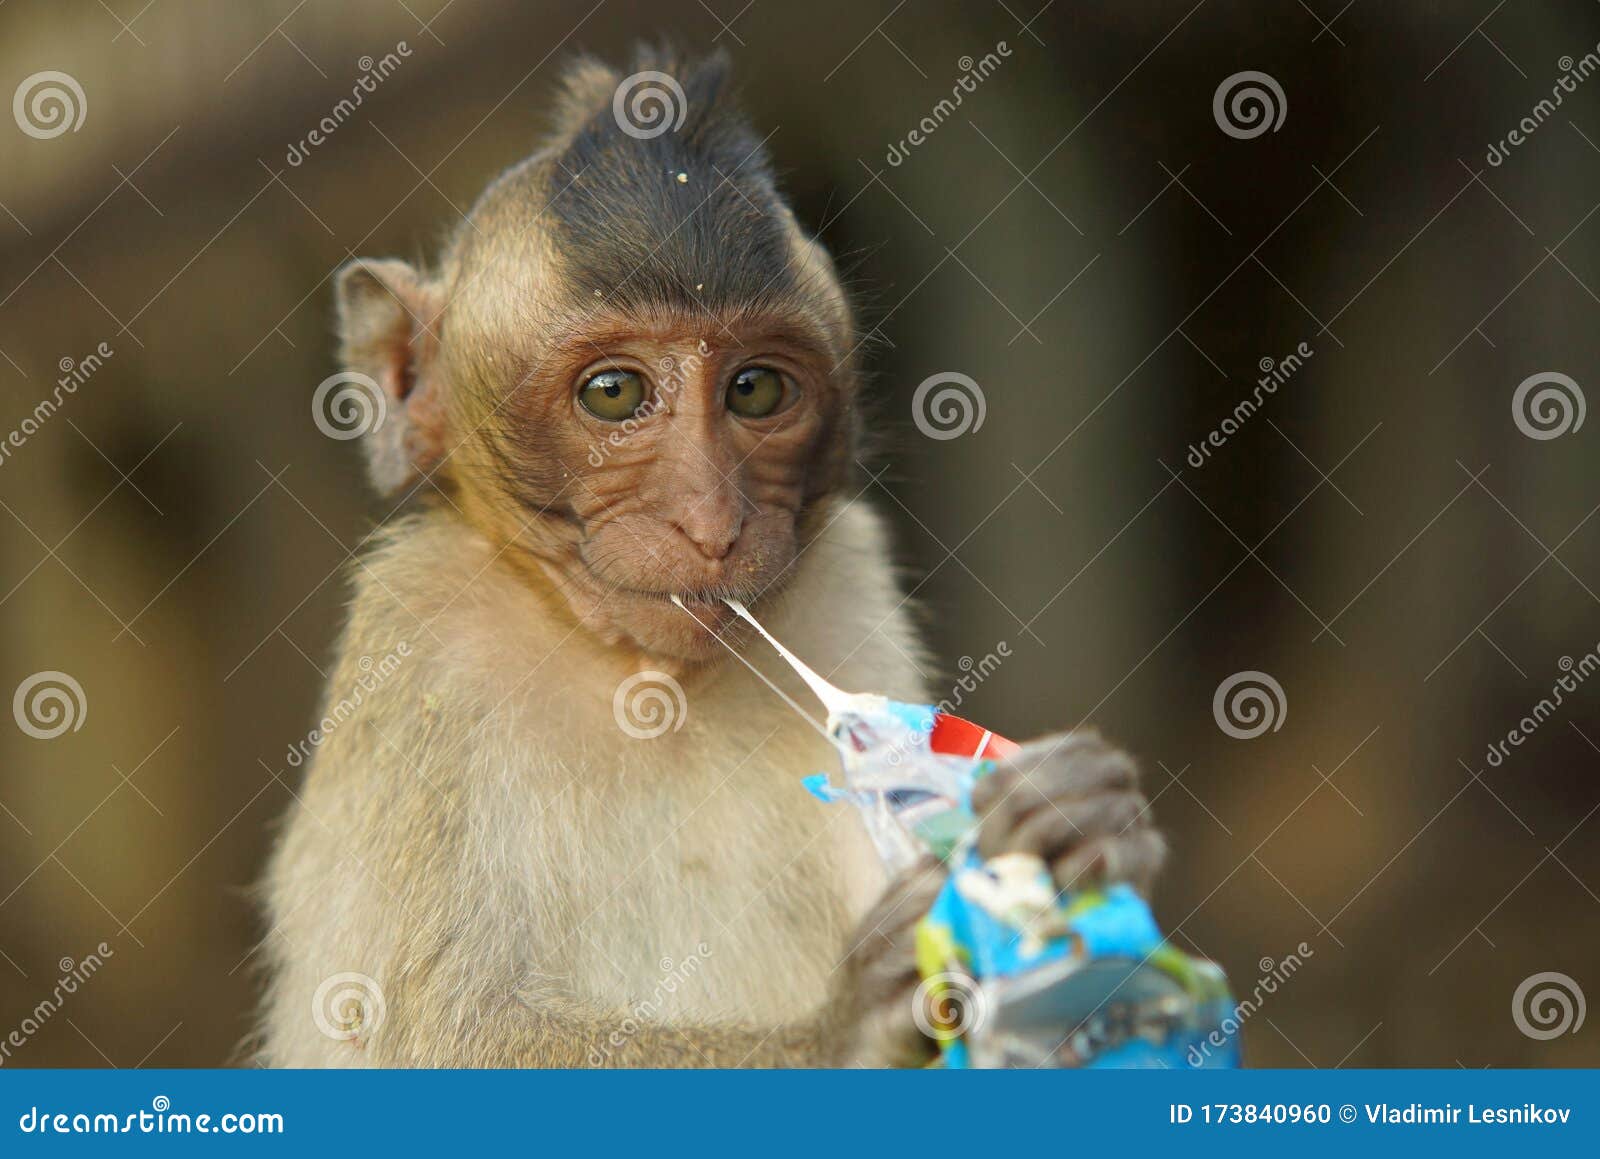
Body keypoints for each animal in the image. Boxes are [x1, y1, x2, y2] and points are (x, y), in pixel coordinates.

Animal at [256, 48, 1165, 1068]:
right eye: (614, 393)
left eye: (756, 389)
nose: (711, 521)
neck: (643, 681)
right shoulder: (416, 641)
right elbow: (436, 1034)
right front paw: (847, 1029)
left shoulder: (844, 582)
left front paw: (1077, 825)